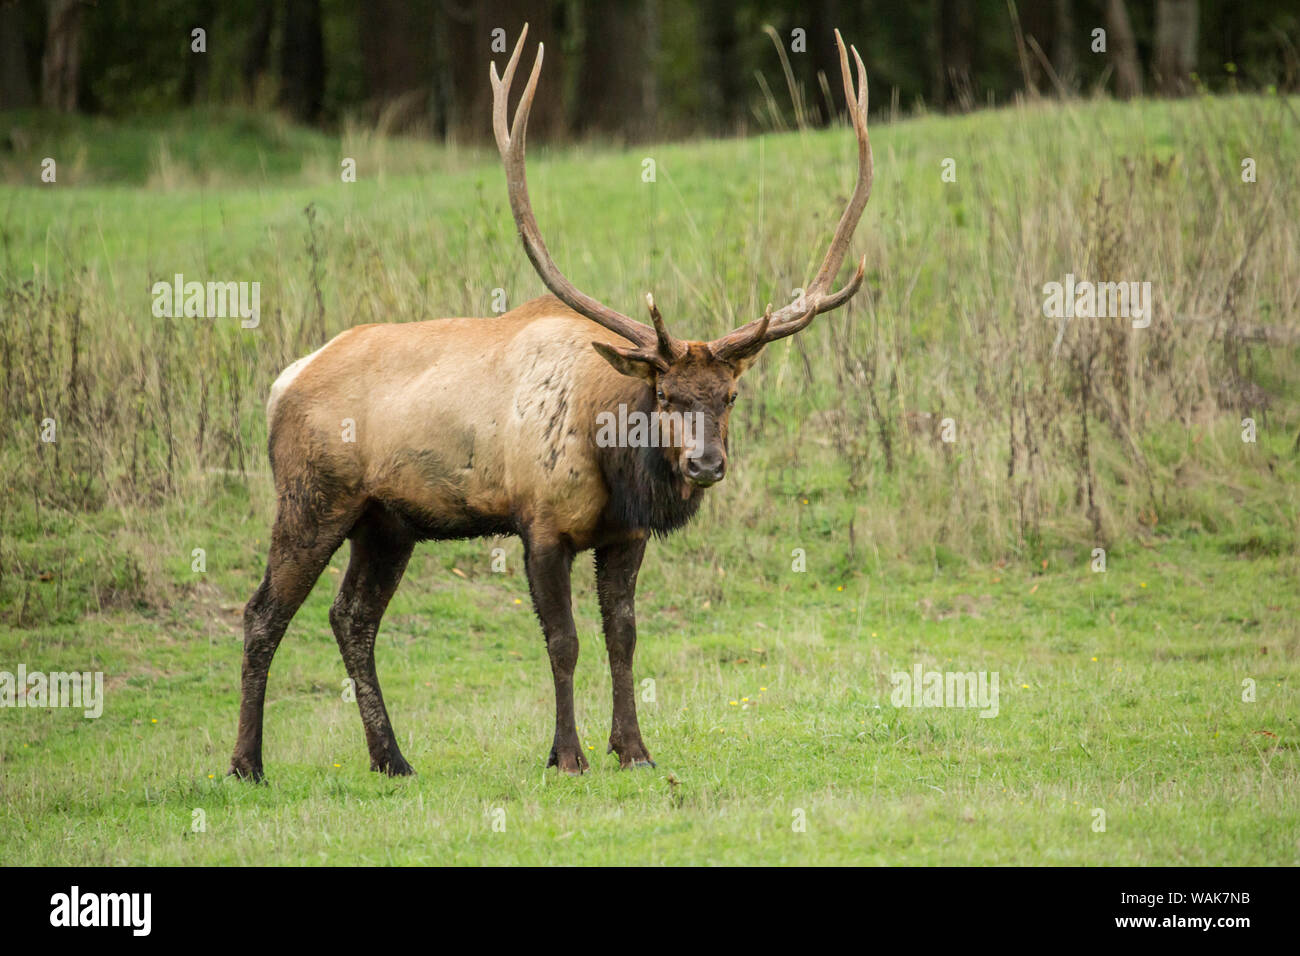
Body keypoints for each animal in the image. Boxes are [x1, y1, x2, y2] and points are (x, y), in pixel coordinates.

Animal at [229, 25, 872, 780]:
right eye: (664, 392)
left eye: (731, 394)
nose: (706, 464)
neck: (608, 456)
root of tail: (283, 383)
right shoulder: (539, 525)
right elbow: (564, 642)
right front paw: (567, 754)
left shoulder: (623, 536)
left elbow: (623, 637)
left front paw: (634, 749)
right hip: (313, 497)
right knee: (263, 612)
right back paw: (247, 764)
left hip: (386, 521)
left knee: (351, 616)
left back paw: (392, 759)